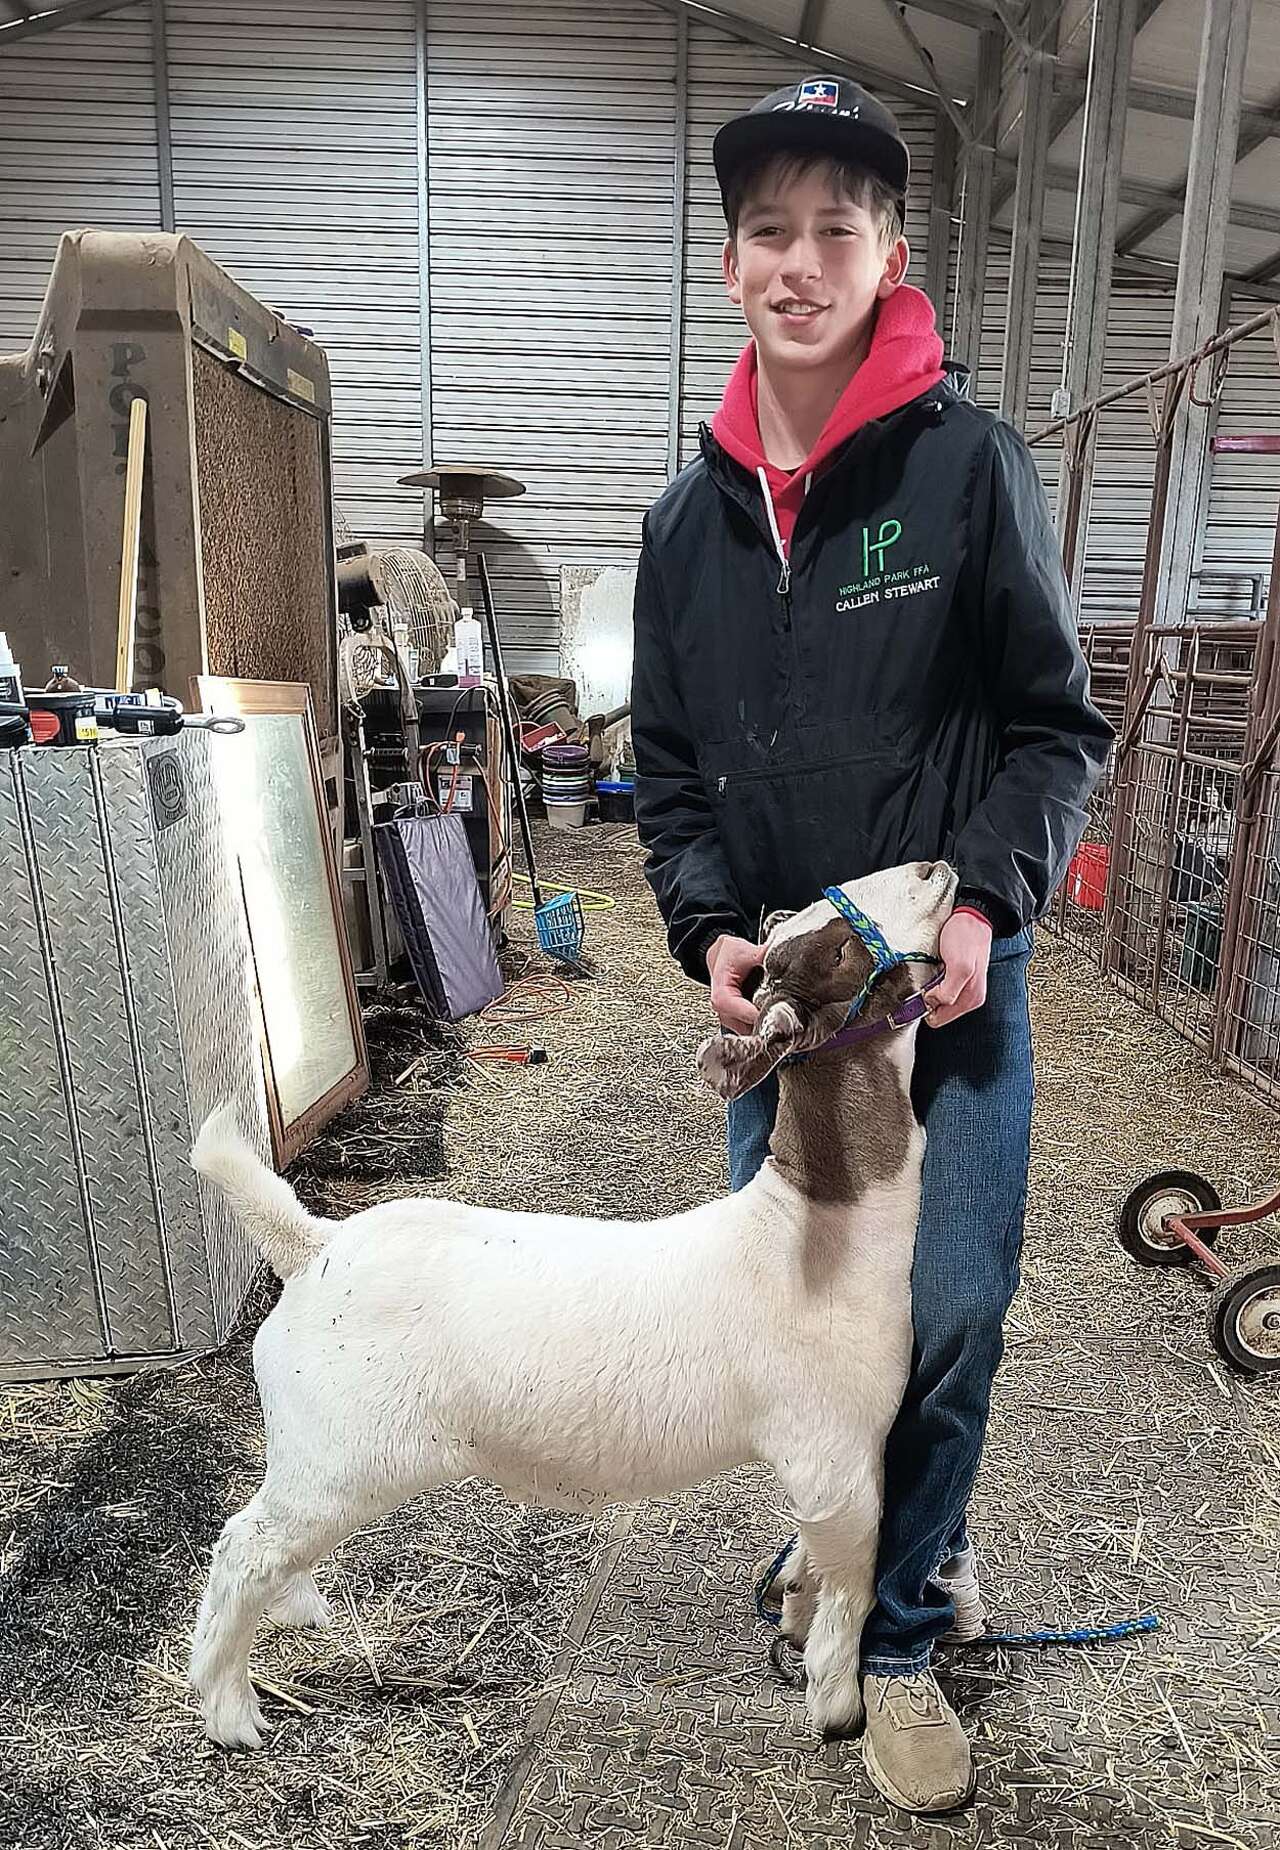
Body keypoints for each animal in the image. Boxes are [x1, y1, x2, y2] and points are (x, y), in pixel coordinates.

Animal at [188, 859, 957, 1750]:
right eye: (837, 950)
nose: (934, 868)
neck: (815, 1221)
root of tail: (313, 1247)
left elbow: (808, 1560)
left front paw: (792, 1611)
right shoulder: (835, 1453)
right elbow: (853, 1584)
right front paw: (835, 1700)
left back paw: (299, 1607)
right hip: (341, 1452)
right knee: (243, 1546)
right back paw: (230, 1710)